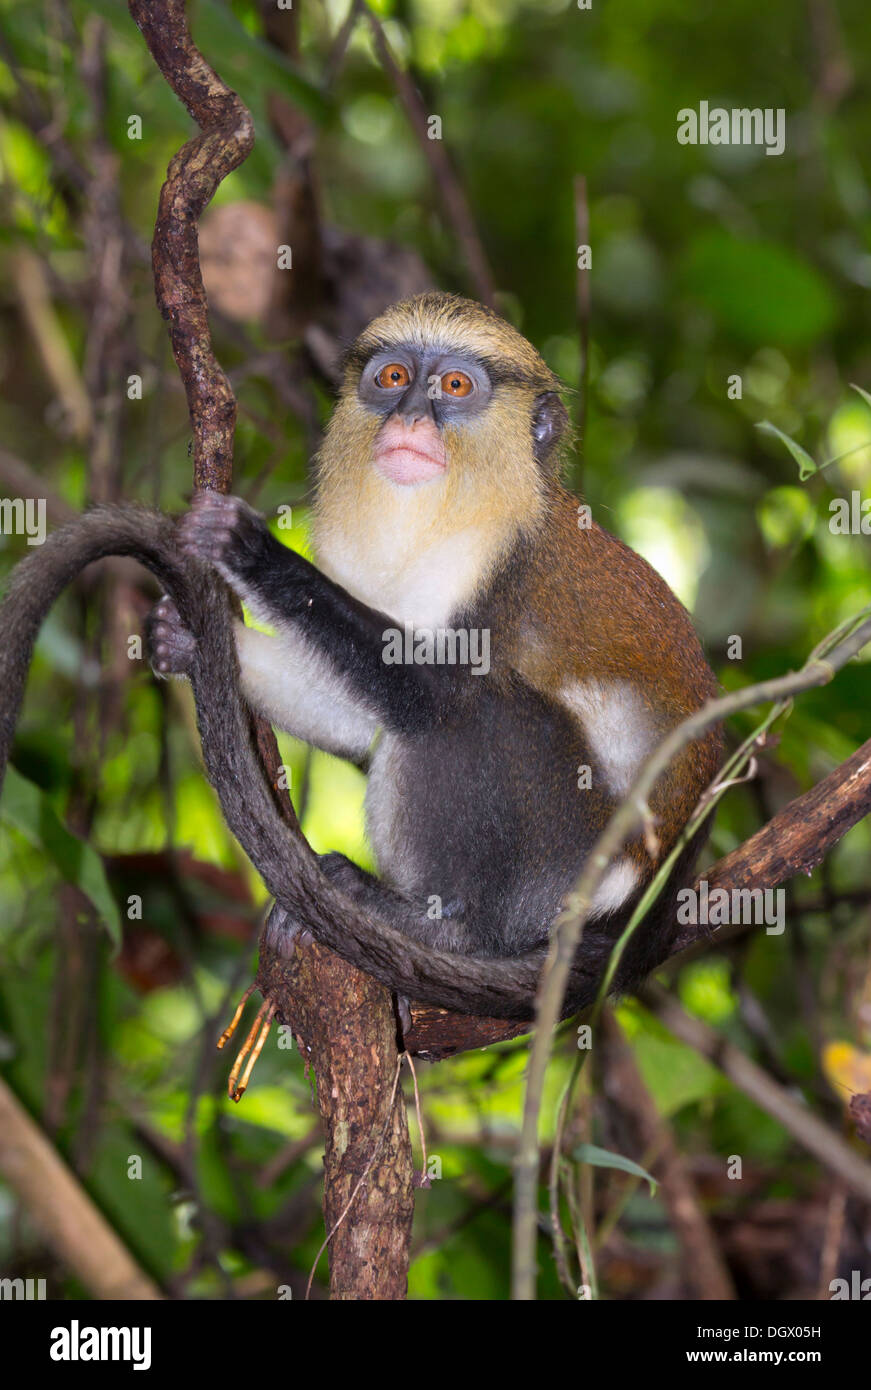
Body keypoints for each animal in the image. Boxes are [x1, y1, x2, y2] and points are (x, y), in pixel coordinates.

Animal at [0, 293, 721, 1021]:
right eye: (394, 377)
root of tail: (641, 910)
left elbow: (432, 695)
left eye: (455, 386)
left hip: (568, 857)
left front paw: (255, 554)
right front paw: (185, 638)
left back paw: (444, 927)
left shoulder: (492, 567)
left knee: (478, 714)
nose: (409, 419)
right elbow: (363, 723)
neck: (437, 510)